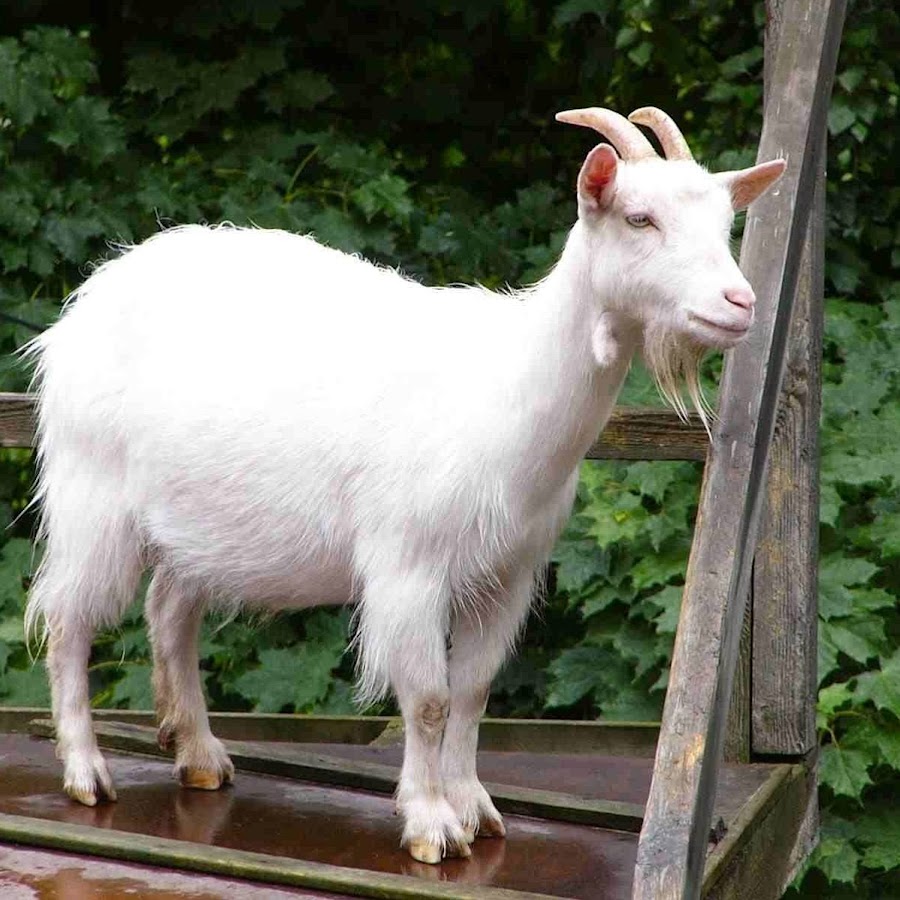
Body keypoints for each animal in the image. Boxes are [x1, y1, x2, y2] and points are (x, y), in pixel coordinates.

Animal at [25, 107, 784, 864]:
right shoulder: (409, 565)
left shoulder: (508, 573)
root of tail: (91, 298)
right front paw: (430, 824)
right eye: (638, 217)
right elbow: (428, 698)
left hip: (198, 524)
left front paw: (474, 807)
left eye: (725, 224)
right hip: (92, 496)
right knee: (67, 619)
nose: (739, 303)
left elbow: (473, 691)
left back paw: (201, 754)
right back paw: (86, 771)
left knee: (169, 612)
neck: (508, 387)